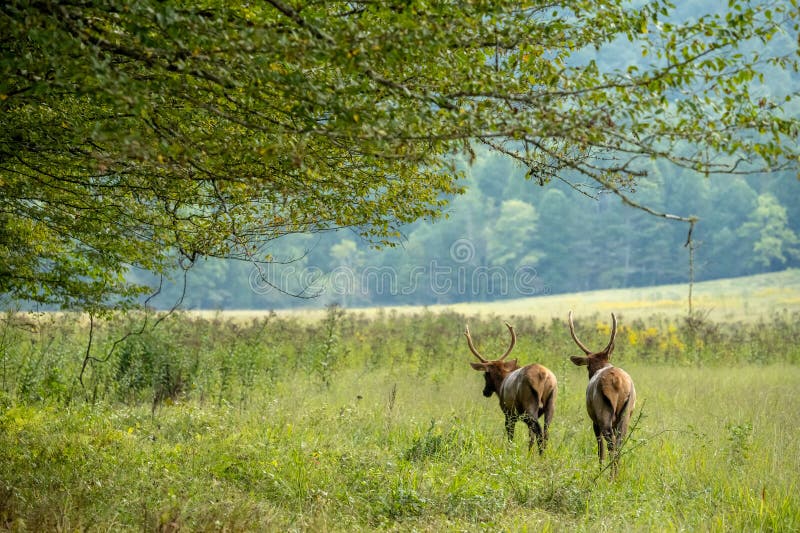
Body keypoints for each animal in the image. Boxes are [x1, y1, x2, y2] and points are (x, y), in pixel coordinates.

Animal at [466, 322, 557, 454]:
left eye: (485, 374)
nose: (485, 392)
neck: (500, 384)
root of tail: (544, 376)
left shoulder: (509, 414)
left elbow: (510, 437)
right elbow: (530, 437)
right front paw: (528, 454)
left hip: (529, 407)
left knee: (539, 432)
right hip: (551, 404)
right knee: (545, 432)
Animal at [568, 311, 636, 477]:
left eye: (587, 367)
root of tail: (617, 381)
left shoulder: (594, 420)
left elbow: (600, 449)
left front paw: (599, 469)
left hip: (602, 411)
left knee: (610, 443)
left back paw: (609, 476)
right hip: (626, 412)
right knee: (619, 442)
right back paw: (616, 475)